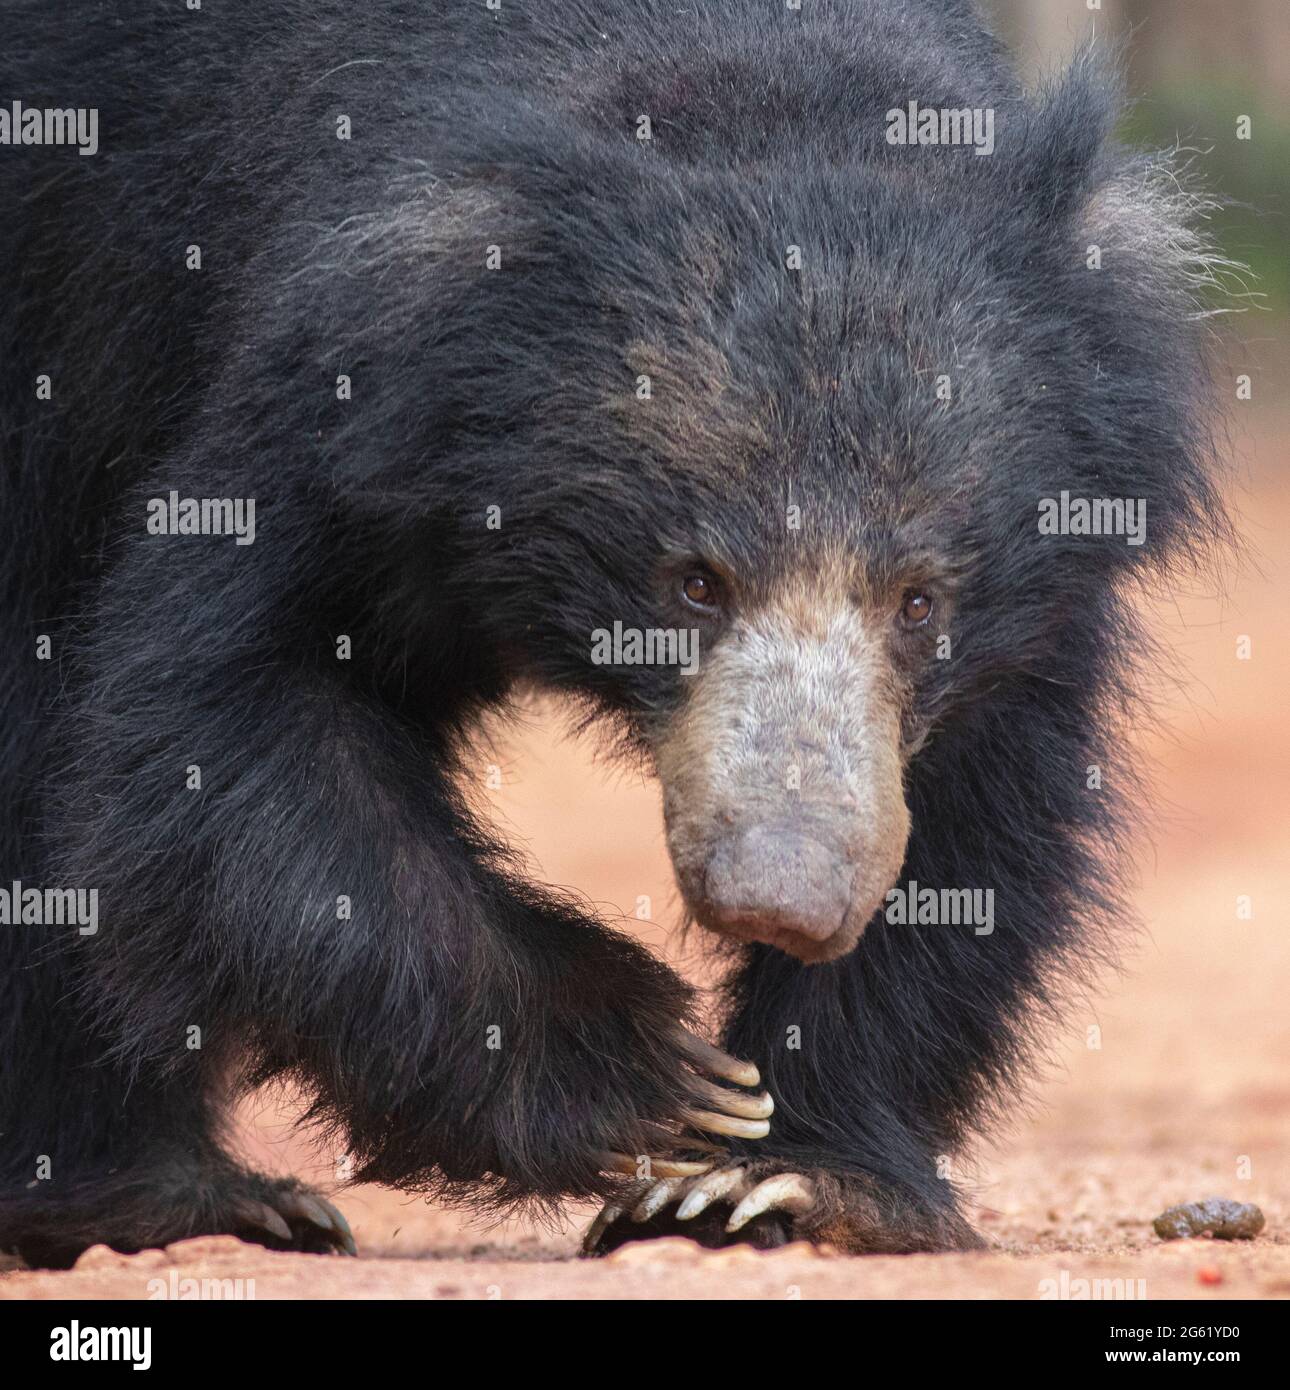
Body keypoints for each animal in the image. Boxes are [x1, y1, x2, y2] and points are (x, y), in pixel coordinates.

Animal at [0, 0, 1229, 1267]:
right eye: (693, 583)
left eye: (918, 600)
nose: (785, 896)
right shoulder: (332, 401)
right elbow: (230, 711)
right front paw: (658, 1082)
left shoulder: (1044, 587)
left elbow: (984, 809)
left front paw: (780, 1177)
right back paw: (180, 1201)